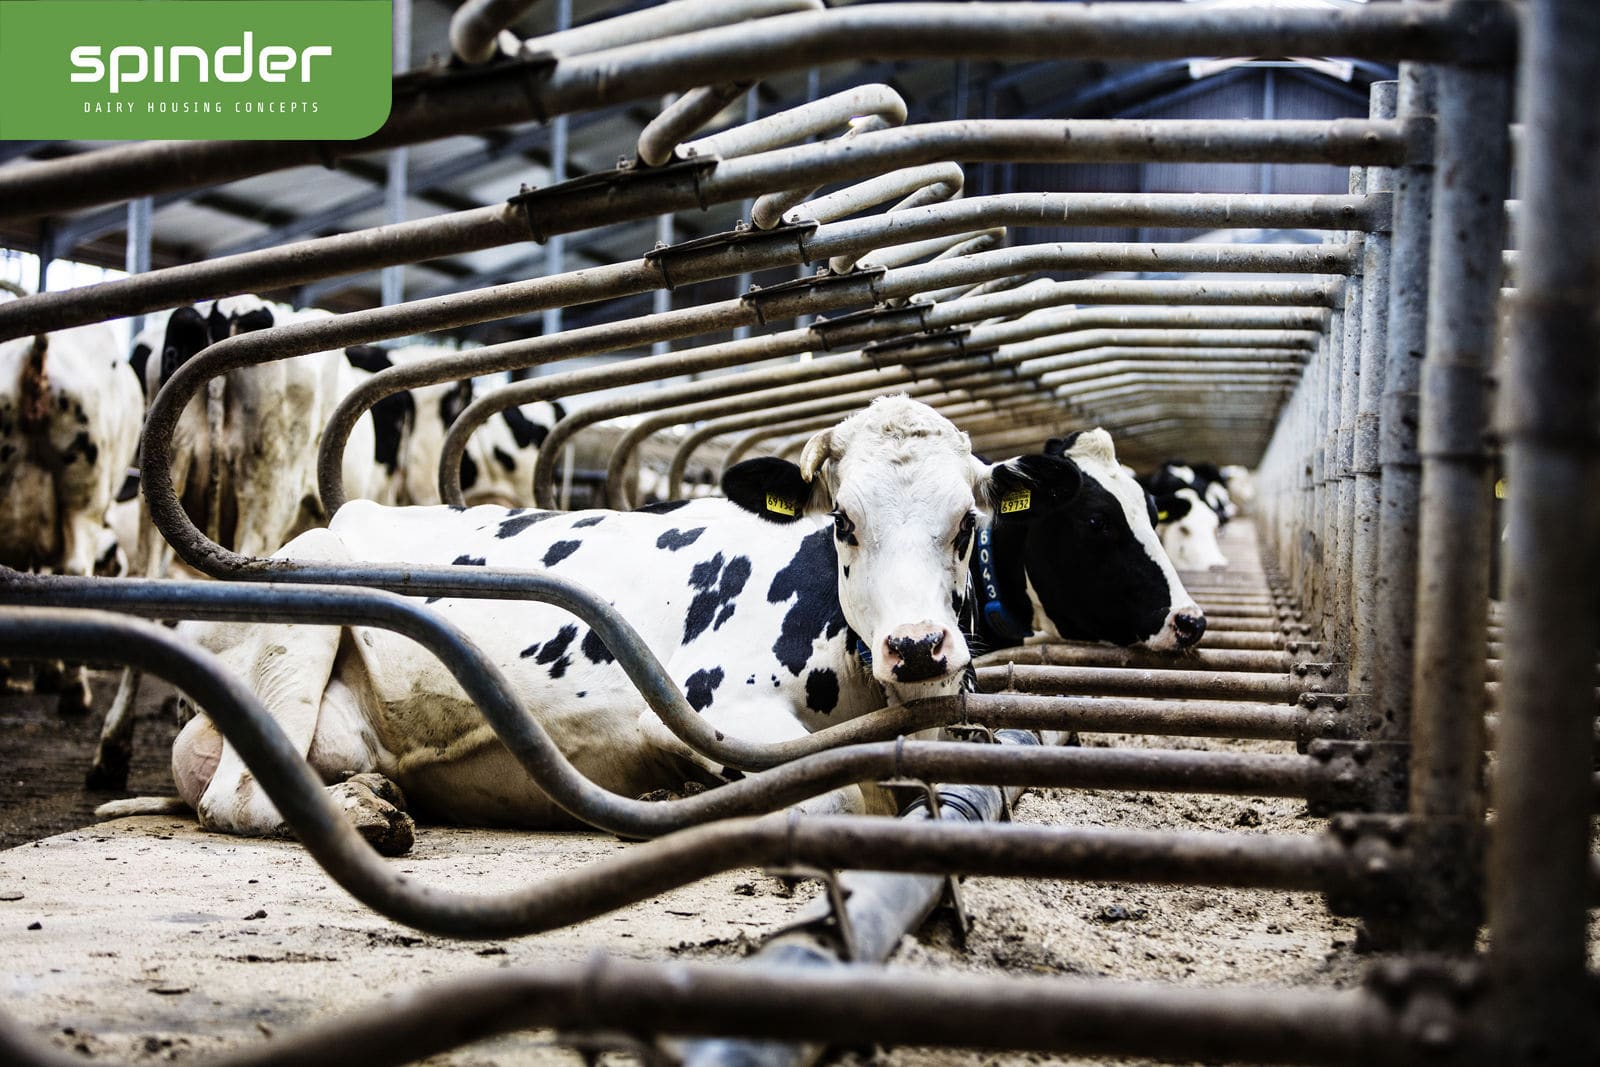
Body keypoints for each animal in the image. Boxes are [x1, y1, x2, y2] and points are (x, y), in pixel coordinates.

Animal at [167, 396, 1026, 851]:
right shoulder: (715, 708)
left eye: (966, 524)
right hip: (303, 586)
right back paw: (362, 813)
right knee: (233, 797)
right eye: (844, 521)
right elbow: (851, 796)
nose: (917, 646)